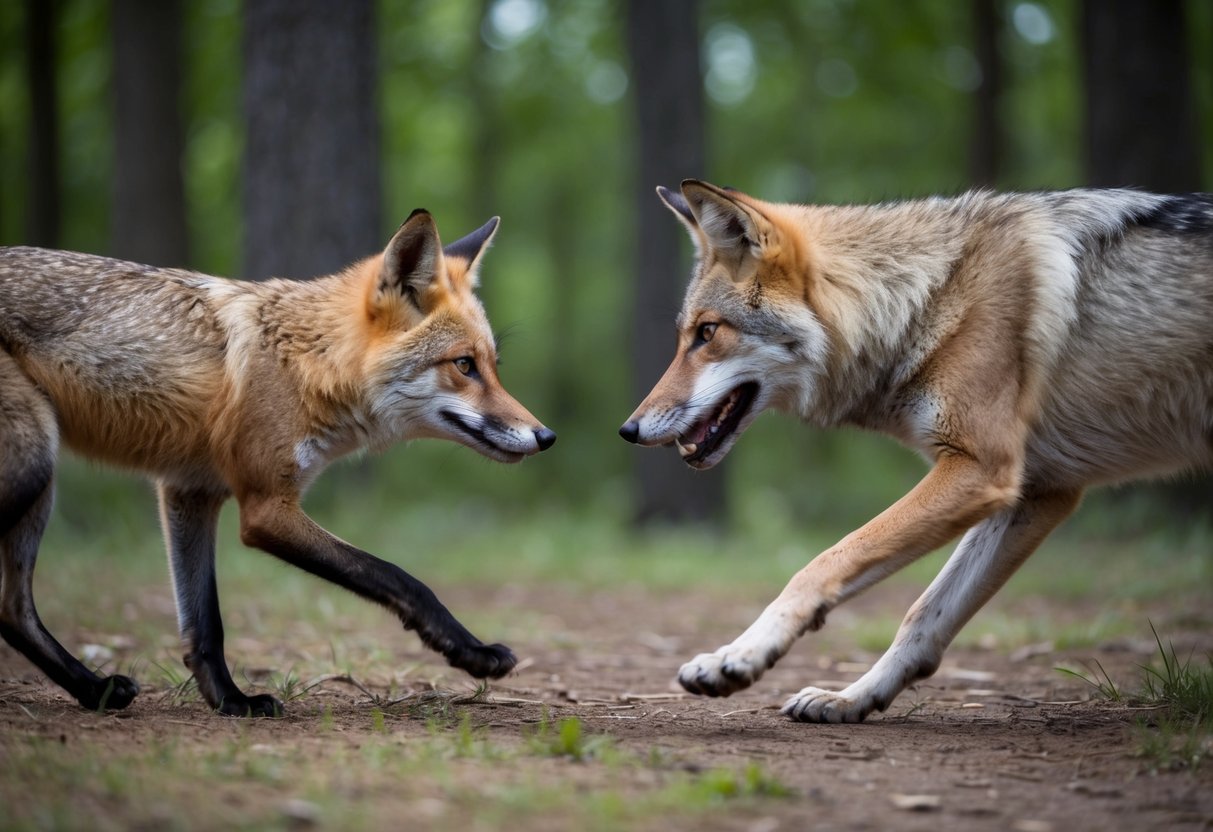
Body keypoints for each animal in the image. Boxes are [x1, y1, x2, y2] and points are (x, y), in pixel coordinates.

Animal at [0, 210, 555, 716]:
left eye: (494, 367)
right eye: (464, 365)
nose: (546, 436)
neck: (308, 364)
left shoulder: (189, 491)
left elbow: (205, 624)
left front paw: (231, 702)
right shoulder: (266, 508)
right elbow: (398, 576)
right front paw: (470, 651)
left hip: (38, 481)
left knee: (13, 611)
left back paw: (94, 691)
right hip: (33, 463)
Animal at [621, 179, 1213, 723]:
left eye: (707, 333)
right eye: (686, 335)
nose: (628, 429)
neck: (927, 297)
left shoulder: (979, 468)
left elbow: (822, 562)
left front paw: (741, 656)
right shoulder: (1040, 491)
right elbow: (924, 615)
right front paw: (853, 698)